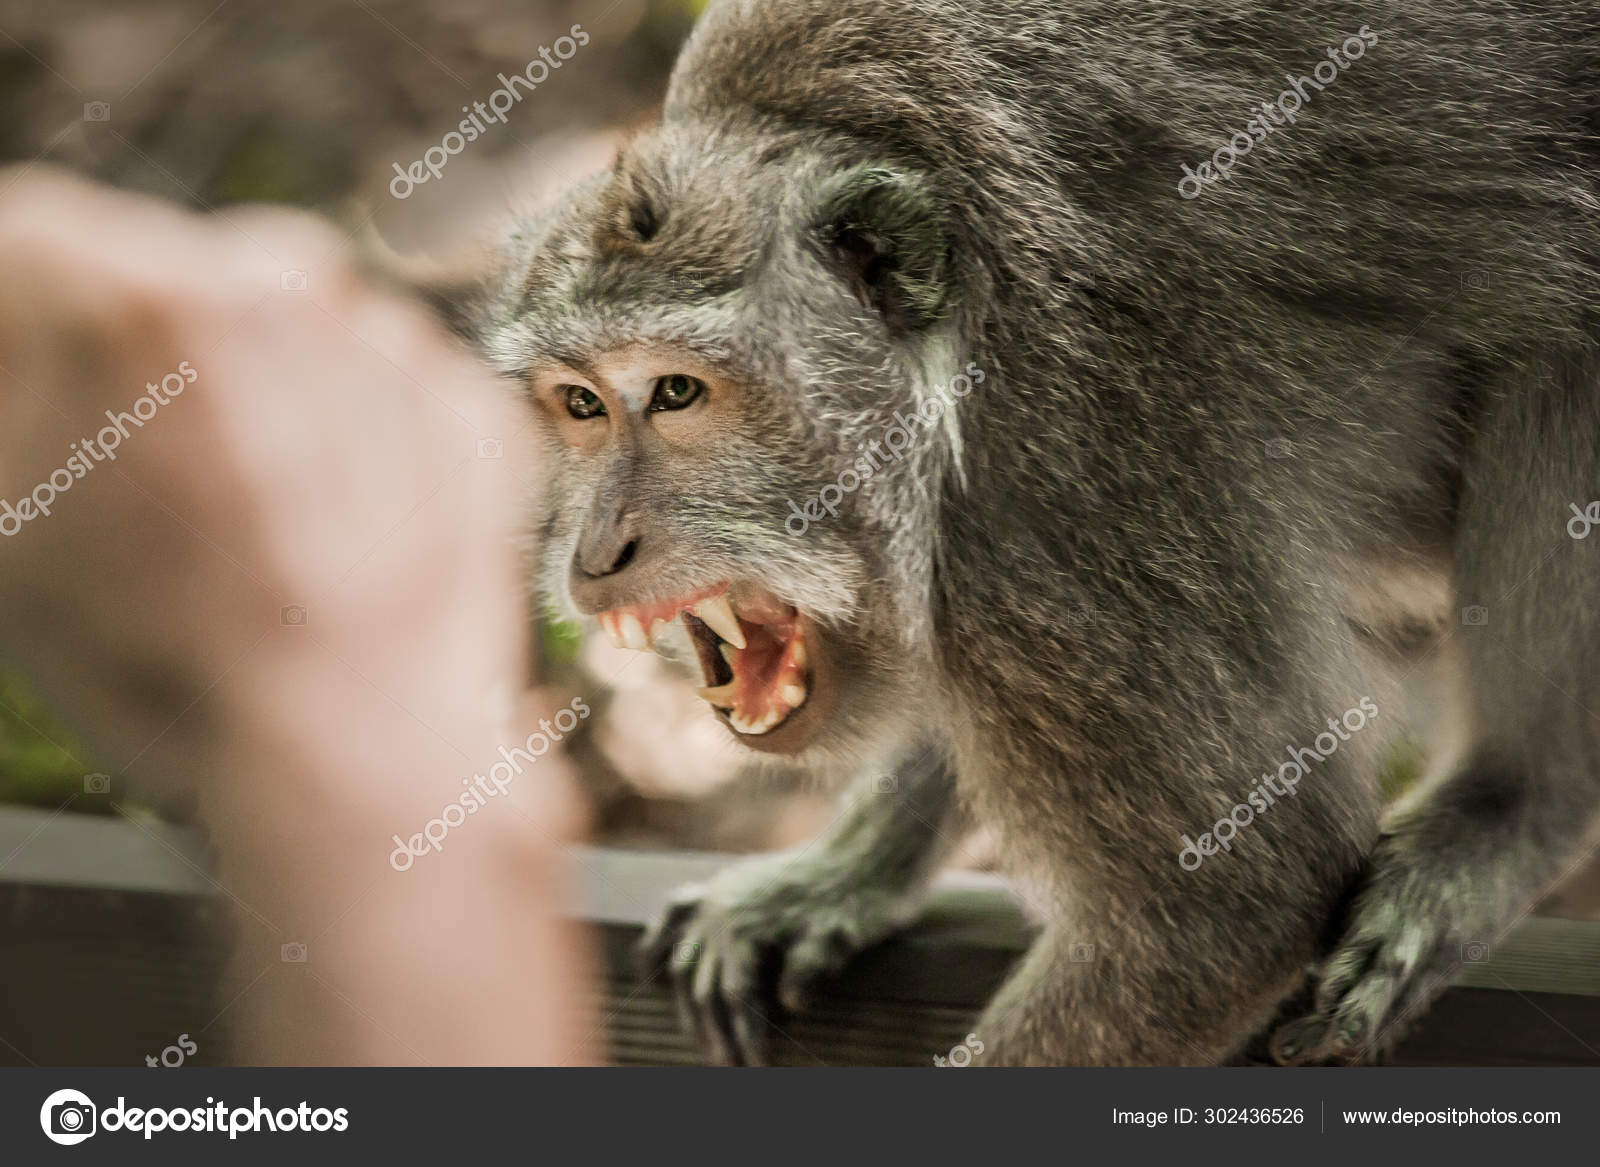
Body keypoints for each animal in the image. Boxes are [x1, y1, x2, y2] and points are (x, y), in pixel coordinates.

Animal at [457, 0, 1600, 1065]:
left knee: (1555, 365)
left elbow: (1238, 893)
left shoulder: (1056, 471)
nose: (595, 555)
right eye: (580, 405)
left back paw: (1514, 807)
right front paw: (841, 873)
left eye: (678, 392)